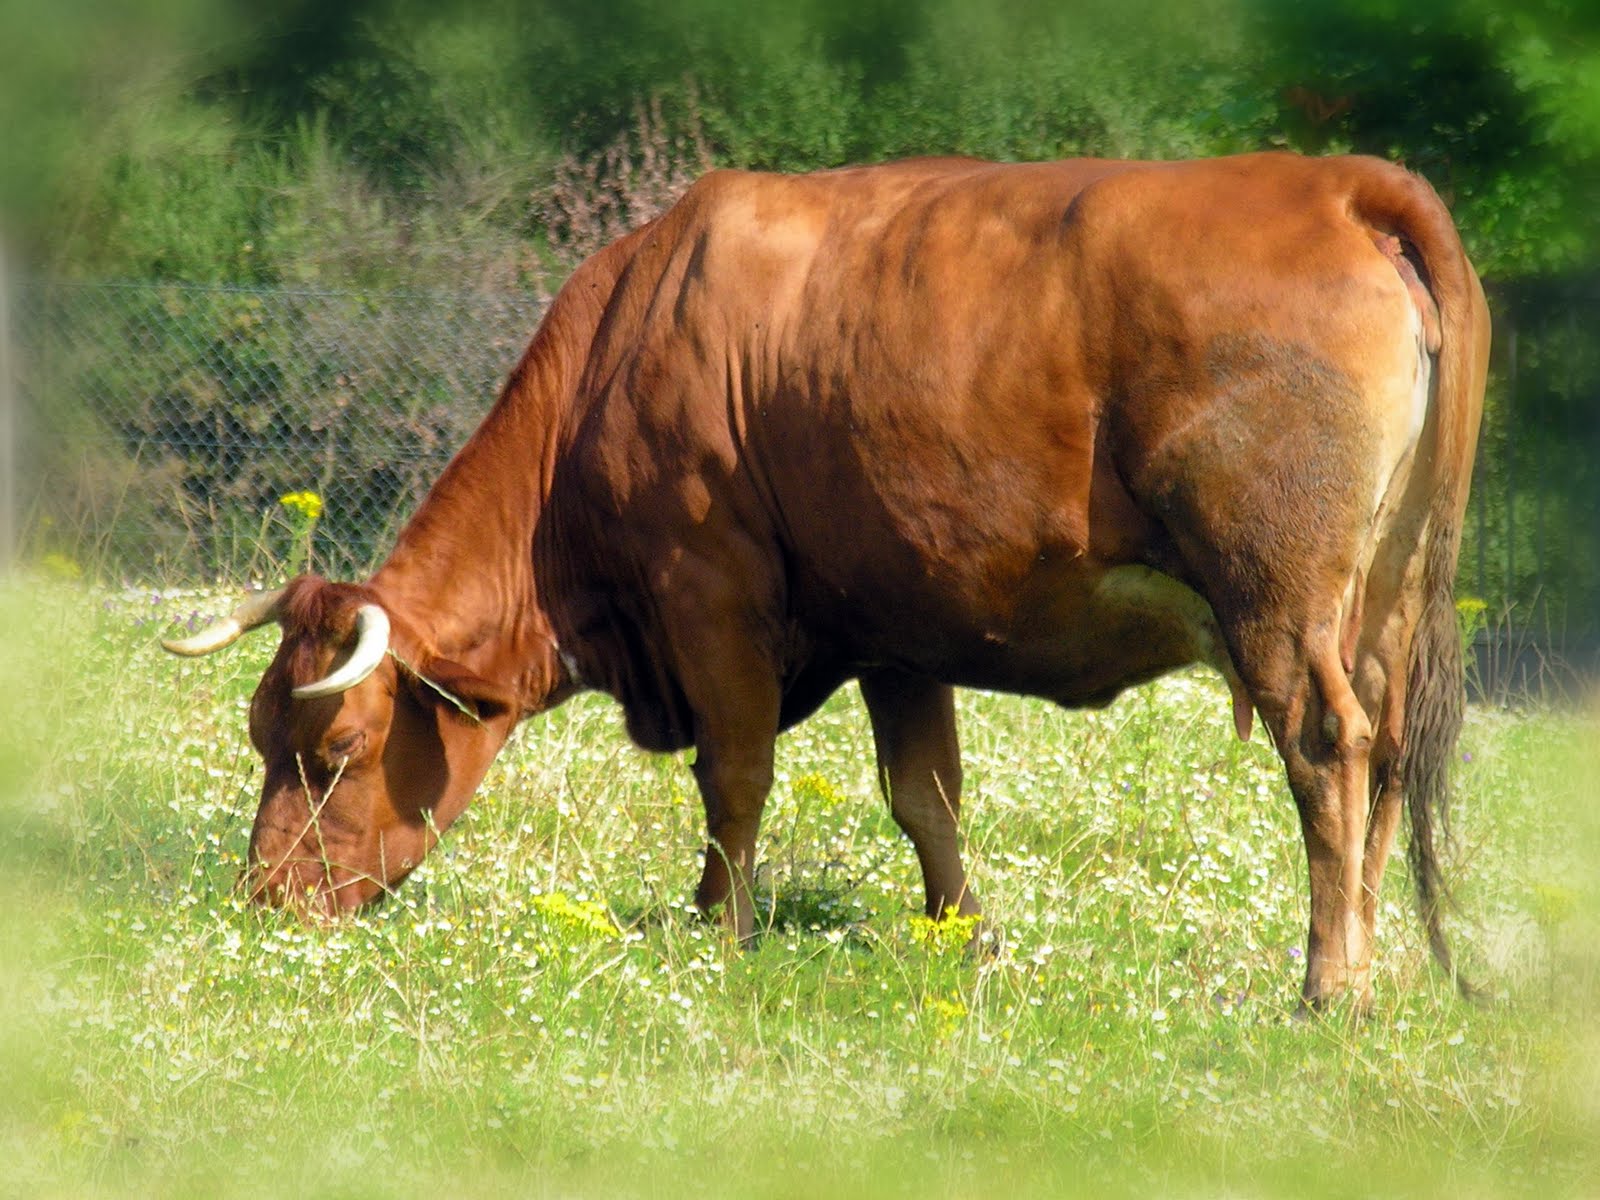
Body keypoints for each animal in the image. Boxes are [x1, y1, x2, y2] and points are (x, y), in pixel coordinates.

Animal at [164, 153, 1488, 1010]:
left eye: (334, 752)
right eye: (256, 734)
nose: (265, 902)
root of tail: (1333, 181)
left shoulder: (710, 595)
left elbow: (733, 777)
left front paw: (718, 929)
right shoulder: (899, 627)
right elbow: (925, 797)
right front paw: (964, 942)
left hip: (1276, 597)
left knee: (1326, 747)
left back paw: (1329, 982)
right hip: (1381, 599)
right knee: (1384, 759)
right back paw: (1373, 955)